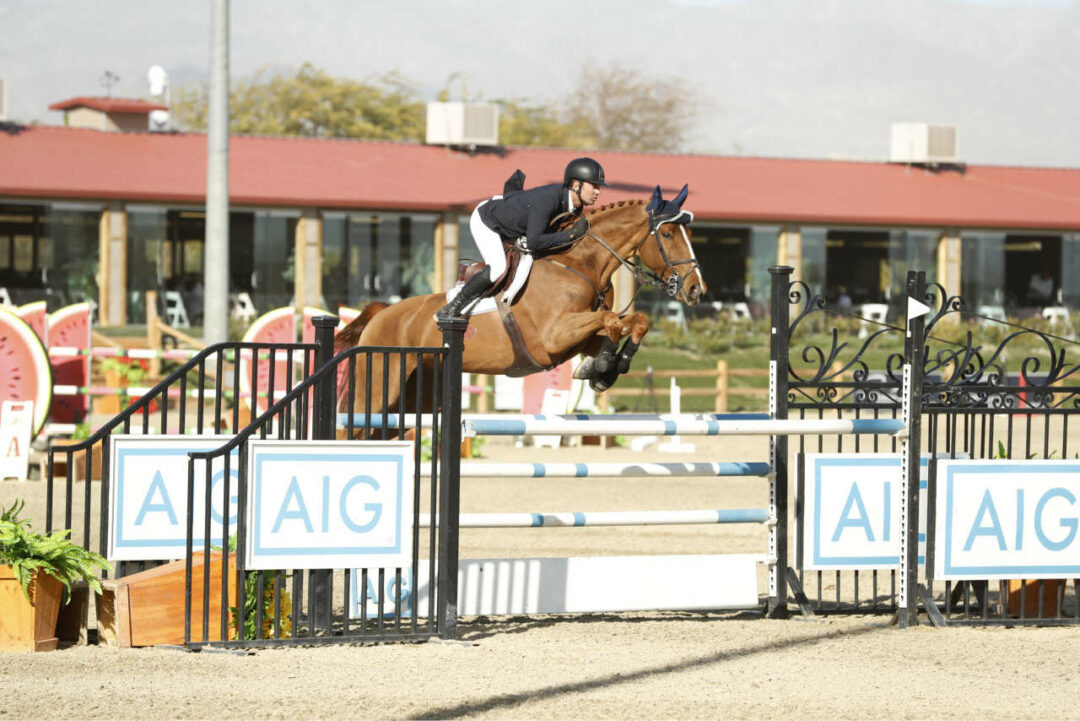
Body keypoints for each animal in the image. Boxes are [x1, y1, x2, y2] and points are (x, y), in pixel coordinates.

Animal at [334, 184, 705, 419]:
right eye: (667, 234)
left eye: (688, 233)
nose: (695, 290)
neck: (579, 265)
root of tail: (382, 315)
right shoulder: (553, 338)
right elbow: (612, 320)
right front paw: (603, 365)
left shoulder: (577, 338)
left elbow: (632, 322)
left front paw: (605, 368)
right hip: (377, 389)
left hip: (414, 396)